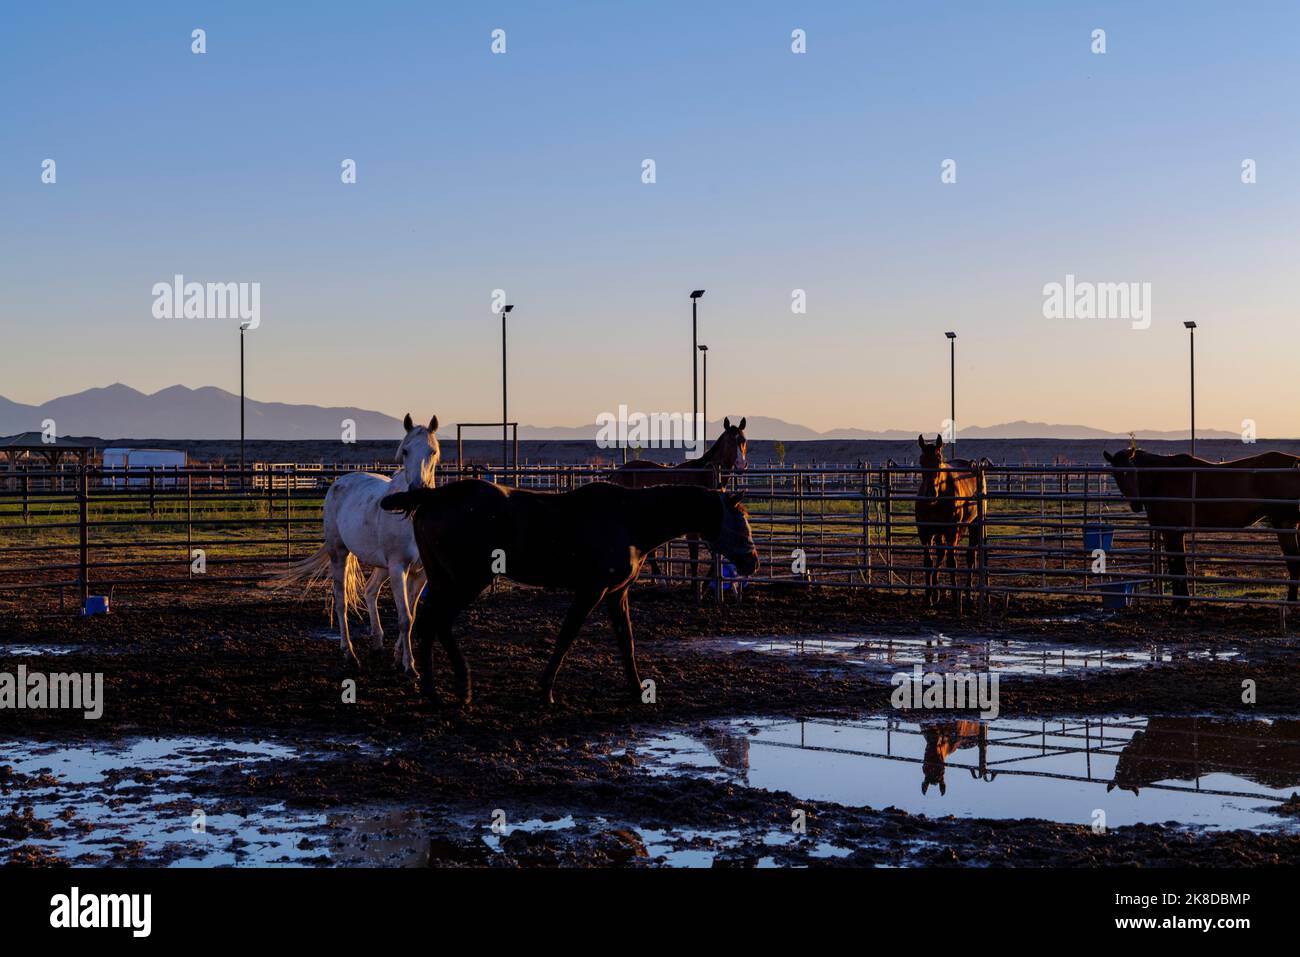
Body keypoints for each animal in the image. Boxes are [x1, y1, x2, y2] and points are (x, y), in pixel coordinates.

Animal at [270, 413, 439, 669]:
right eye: (405, 451)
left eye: (433, 451)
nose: (417, 490)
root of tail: (340, 481)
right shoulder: (398, 567)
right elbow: (404, 617)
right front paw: (409, 666)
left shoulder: (420, 573)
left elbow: (410, 615)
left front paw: (398, 656)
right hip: (339, 553)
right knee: (341, 600)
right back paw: (349, 652)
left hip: (380, 565)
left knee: (370, 591)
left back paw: (377, 644)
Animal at [380, 480, 759, 707]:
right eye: (741, 521)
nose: (753, 561)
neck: (630, 518)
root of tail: (434, 496)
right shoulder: (591, 590)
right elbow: (566, 637)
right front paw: (545, 690)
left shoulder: (616, 594)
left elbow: (626, 642)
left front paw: (638, 691)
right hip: (465, 581)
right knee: (438, 622)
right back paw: (462, 687)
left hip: (441, 580)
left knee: (428, 623)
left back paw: (432, 690)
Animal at [607, 416, 748, 597]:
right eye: (730, 441)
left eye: (743, 440)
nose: (741, 465)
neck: (704, 475)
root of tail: (617, 473)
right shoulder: (693, 532)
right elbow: (694, 558)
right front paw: (695, 588)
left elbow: (715, 556)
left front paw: (704, 586)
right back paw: (660, 579)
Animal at [914, 434, 985, 610]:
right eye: (921, 461)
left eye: (939, 459)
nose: (930, 493)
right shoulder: (925, 533)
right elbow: (928, 562)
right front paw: (929, 597)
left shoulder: (952, 531)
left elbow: (952, 562)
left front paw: (954, 597)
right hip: (941, 533)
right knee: (941, 554)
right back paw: (937, 592)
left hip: (972, 526)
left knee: (970, 557)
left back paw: (967, 593)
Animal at [1103, 447, 1300, 605]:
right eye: (1116, 474)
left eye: (1133, 471)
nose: (1136, 505)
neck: (1162, 478)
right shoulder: (1173, 532)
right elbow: (1177, 566)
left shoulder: (1172, 532)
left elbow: (1178, 567)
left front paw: (1181, 603)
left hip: (1284, 523)